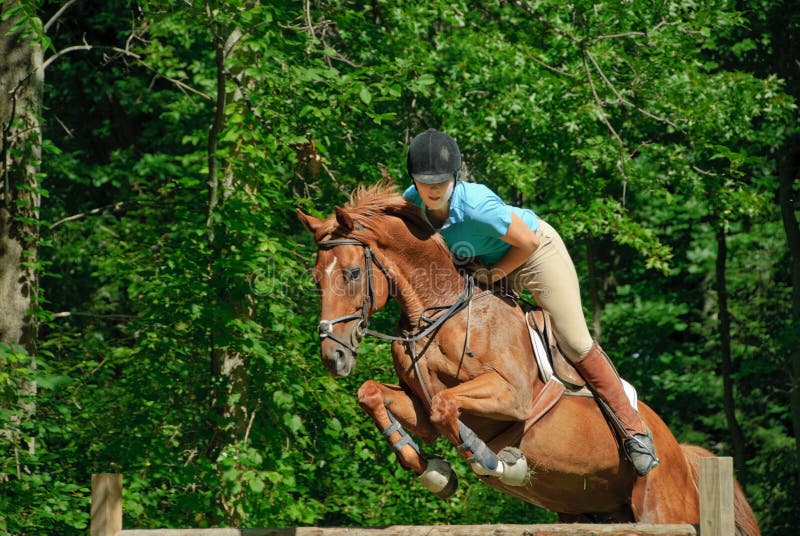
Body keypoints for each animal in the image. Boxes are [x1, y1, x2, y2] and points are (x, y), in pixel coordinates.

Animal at [297, 183, 759, 535]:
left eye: (353, 274)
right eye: (317, 278)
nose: (333, 356)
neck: (437, 312)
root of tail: (683, 454)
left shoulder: (512, 395)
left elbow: (449, 406)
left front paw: (494, 461)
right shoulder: (421, 410)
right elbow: (373, 394)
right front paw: (434, 472)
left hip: (661, 507)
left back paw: (641, 446)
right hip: (591, 513)